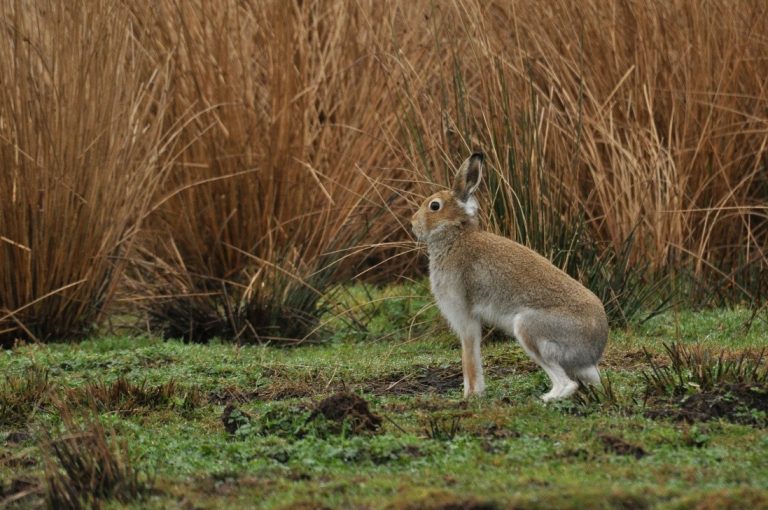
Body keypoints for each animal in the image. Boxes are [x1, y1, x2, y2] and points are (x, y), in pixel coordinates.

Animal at [411, 152, 608, 401]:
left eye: (434, 206)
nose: (413, 224)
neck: (455, 235)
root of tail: (593, 351)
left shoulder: (463, 314)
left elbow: (469, 357)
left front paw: (469, 396)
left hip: (530, 329)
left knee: (567, 384)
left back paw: (546, 399)